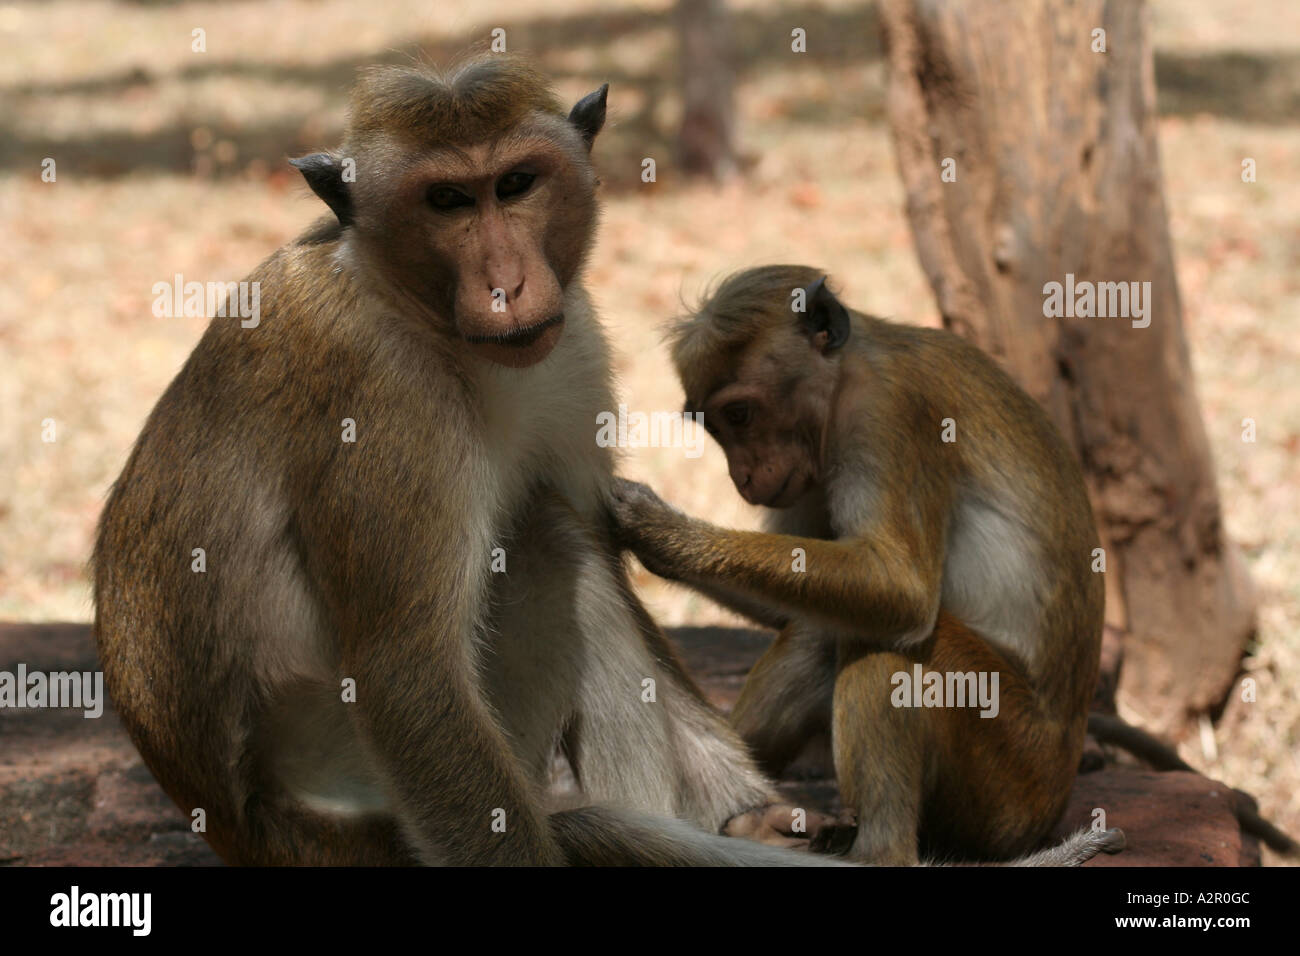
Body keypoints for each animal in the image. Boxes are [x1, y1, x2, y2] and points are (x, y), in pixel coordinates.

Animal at [92, 58, 861, 867]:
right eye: (447, 200)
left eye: (516, 184)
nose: (506, 284)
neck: (421, 314)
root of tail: (242, 838)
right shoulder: (383, 398)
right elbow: (409, 676)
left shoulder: (572, 341)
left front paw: (748, 813)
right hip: (358, 826)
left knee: (559, 541)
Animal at [610, 265, 1128, 865]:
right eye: (713, 426)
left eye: (739, 414)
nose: (742, 476)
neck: (846, 371)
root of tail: (1060, 786)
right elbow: (804, 596)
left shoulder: (886, 412)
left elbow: (900, 588)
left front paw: (662, 531)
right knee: (820, 633)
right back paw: (748, 820)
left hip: (1013, 784)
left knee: (894, 644)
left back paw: (877, 849)